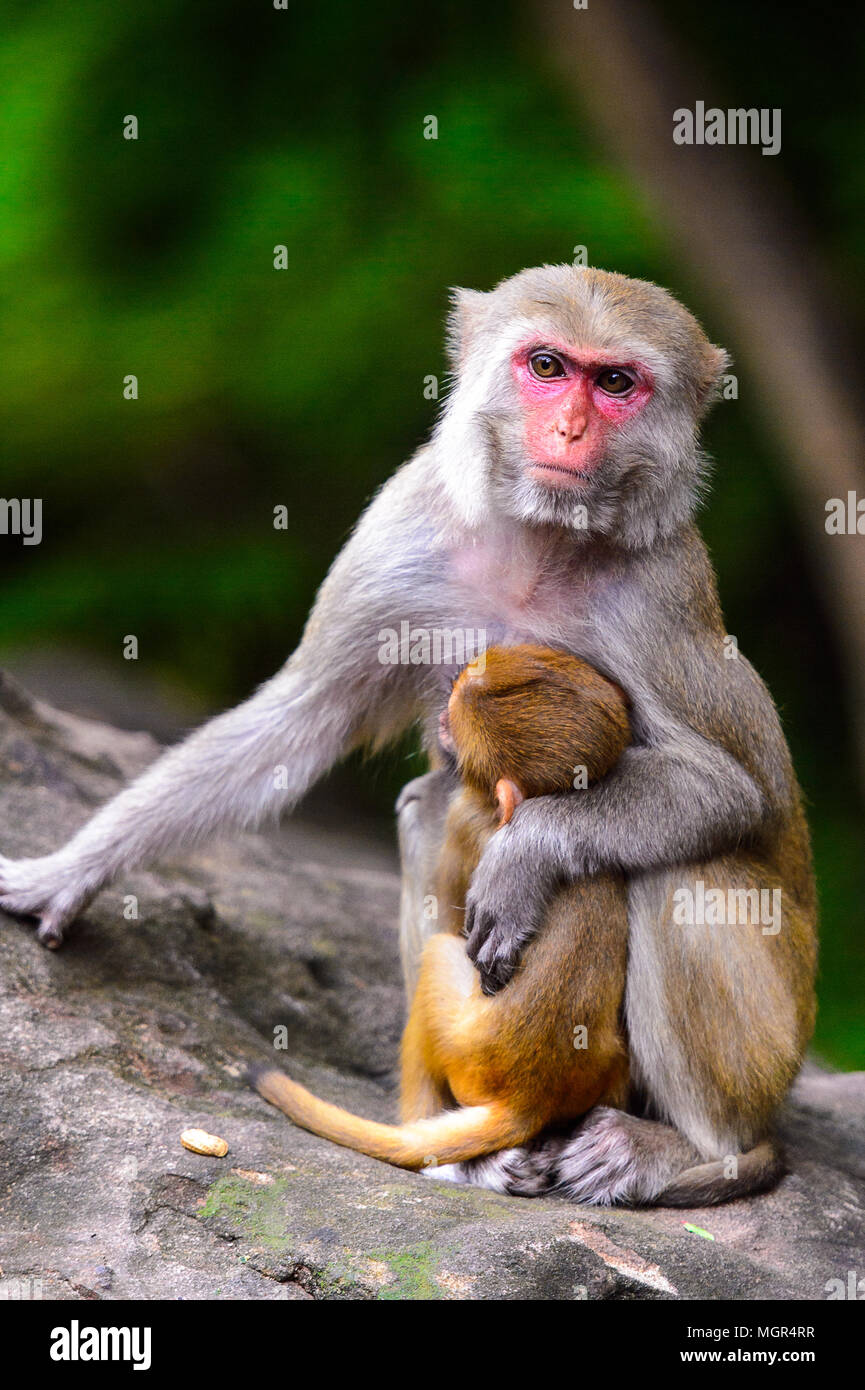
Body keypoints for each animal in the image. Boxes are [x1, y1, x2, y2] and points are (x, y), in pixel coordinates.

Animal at [250, 643, 632, 1171]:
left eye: (455, 722)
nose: (442, 714)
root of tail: (527, 1101)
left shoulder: (465, 817)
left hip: (465, 1052)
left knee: (438, 955)